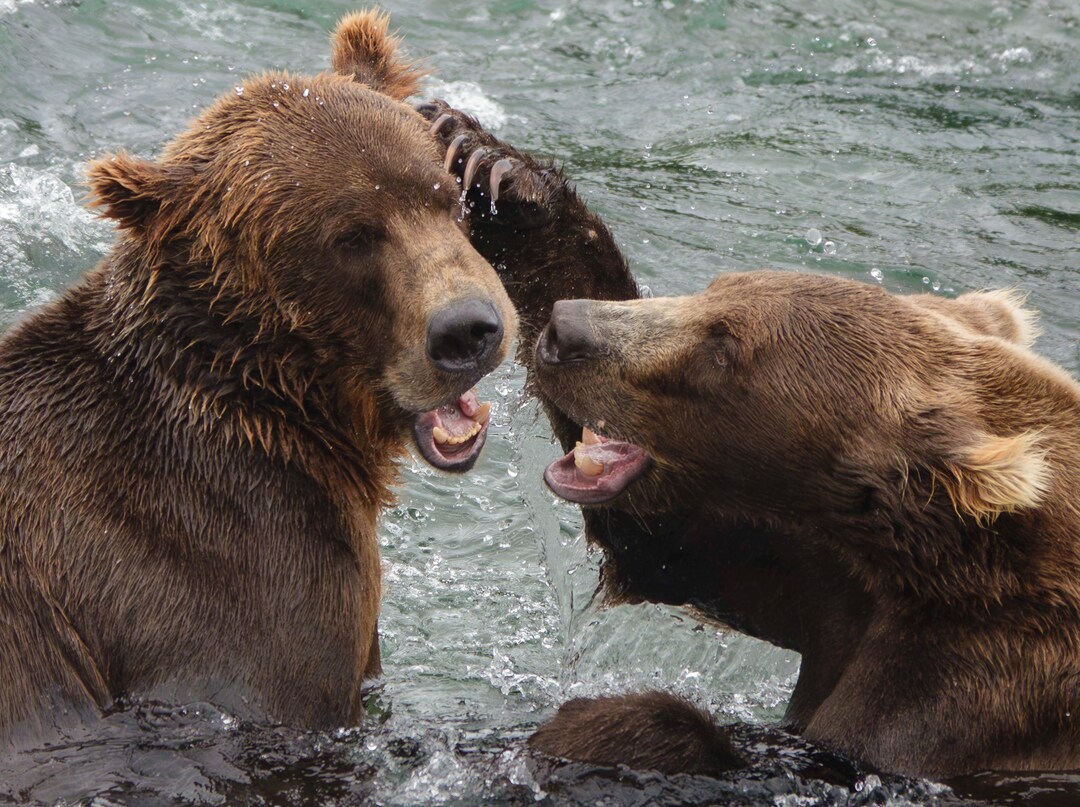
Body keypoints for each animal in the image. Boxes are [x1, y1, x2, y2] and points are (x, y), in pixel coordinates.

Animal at [418, 105, 1080, 779]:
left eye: (724, 349)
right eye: (715, 289)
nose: (564, 328)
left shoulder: (969, 690)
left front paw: (598, 726)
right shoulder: (830, 582)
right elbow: (665, 547)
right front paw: (490, 167)